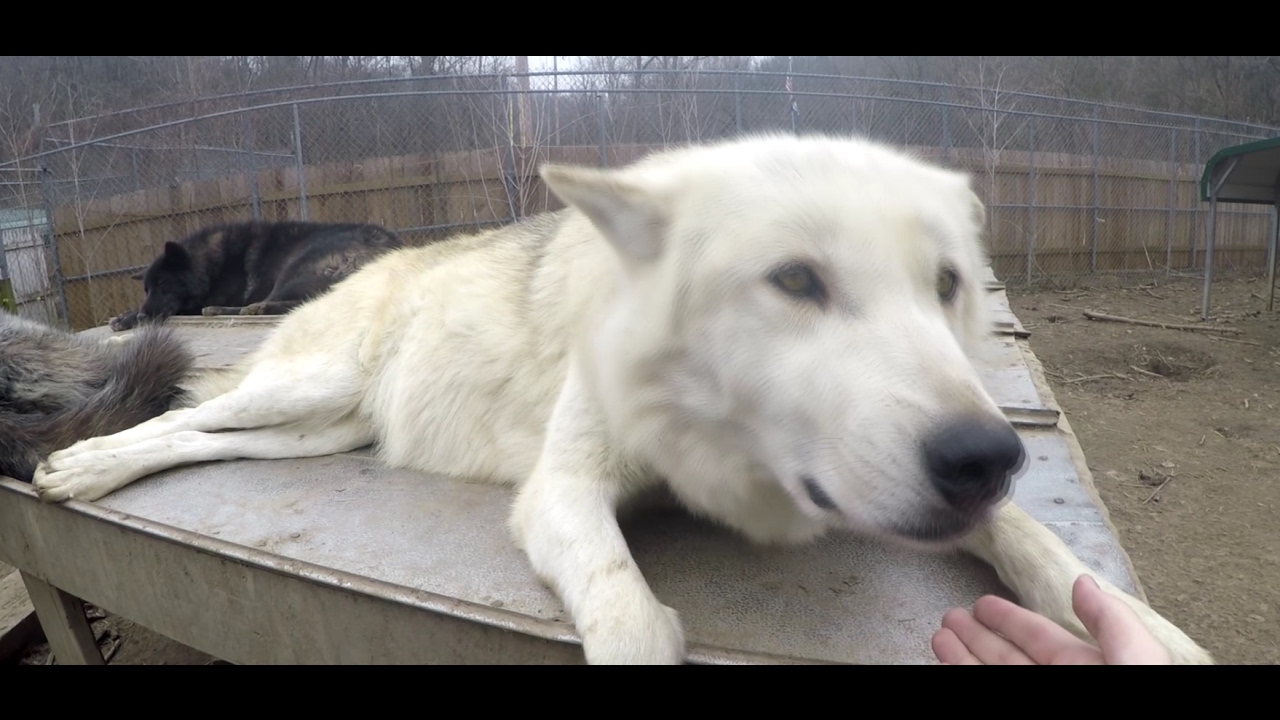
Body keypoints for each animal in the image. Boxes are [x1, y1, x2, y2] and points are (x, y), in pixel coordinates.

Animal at [108, 220, 402, 331]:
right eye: (146, 289)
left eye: (162, 285)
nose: (144, 315)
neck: (211, 264)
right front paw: (125, 316)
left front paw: (128, 318)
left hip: (294, 268)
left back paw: (244, 309)